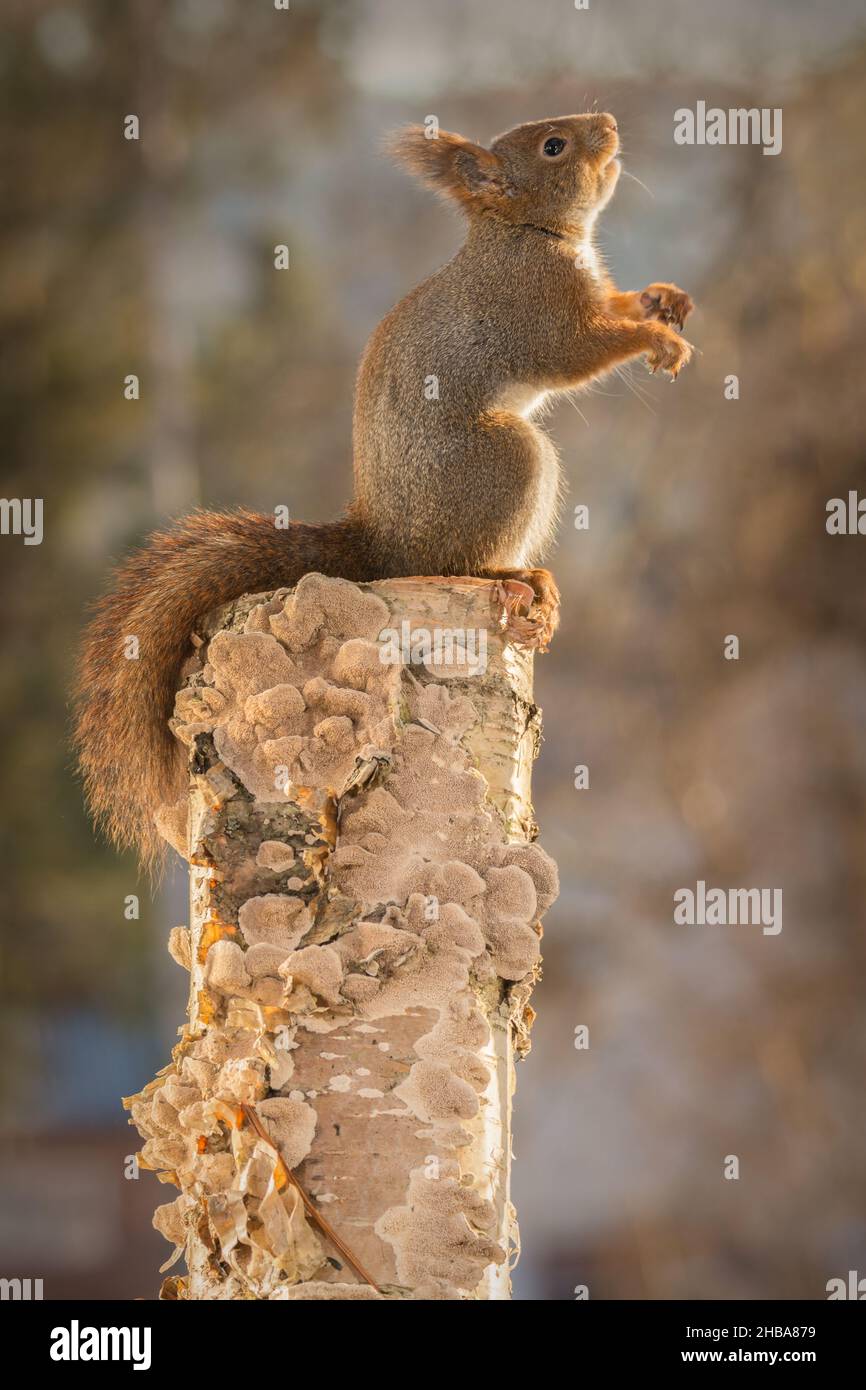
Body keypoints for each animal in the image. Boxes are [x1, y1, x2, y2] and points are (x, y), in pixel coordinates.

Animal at [74, 112, 694, 868]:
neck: (526, 233)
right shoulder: (534, 309)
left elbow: (617, 303)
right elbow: (577, 352)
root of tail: (382, 547)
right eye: (554, 146)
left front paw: (662, 299)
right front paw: (656, 338)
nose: (607, 124)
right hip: (507, 461)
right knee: (466, 557)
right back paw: (519, 578)